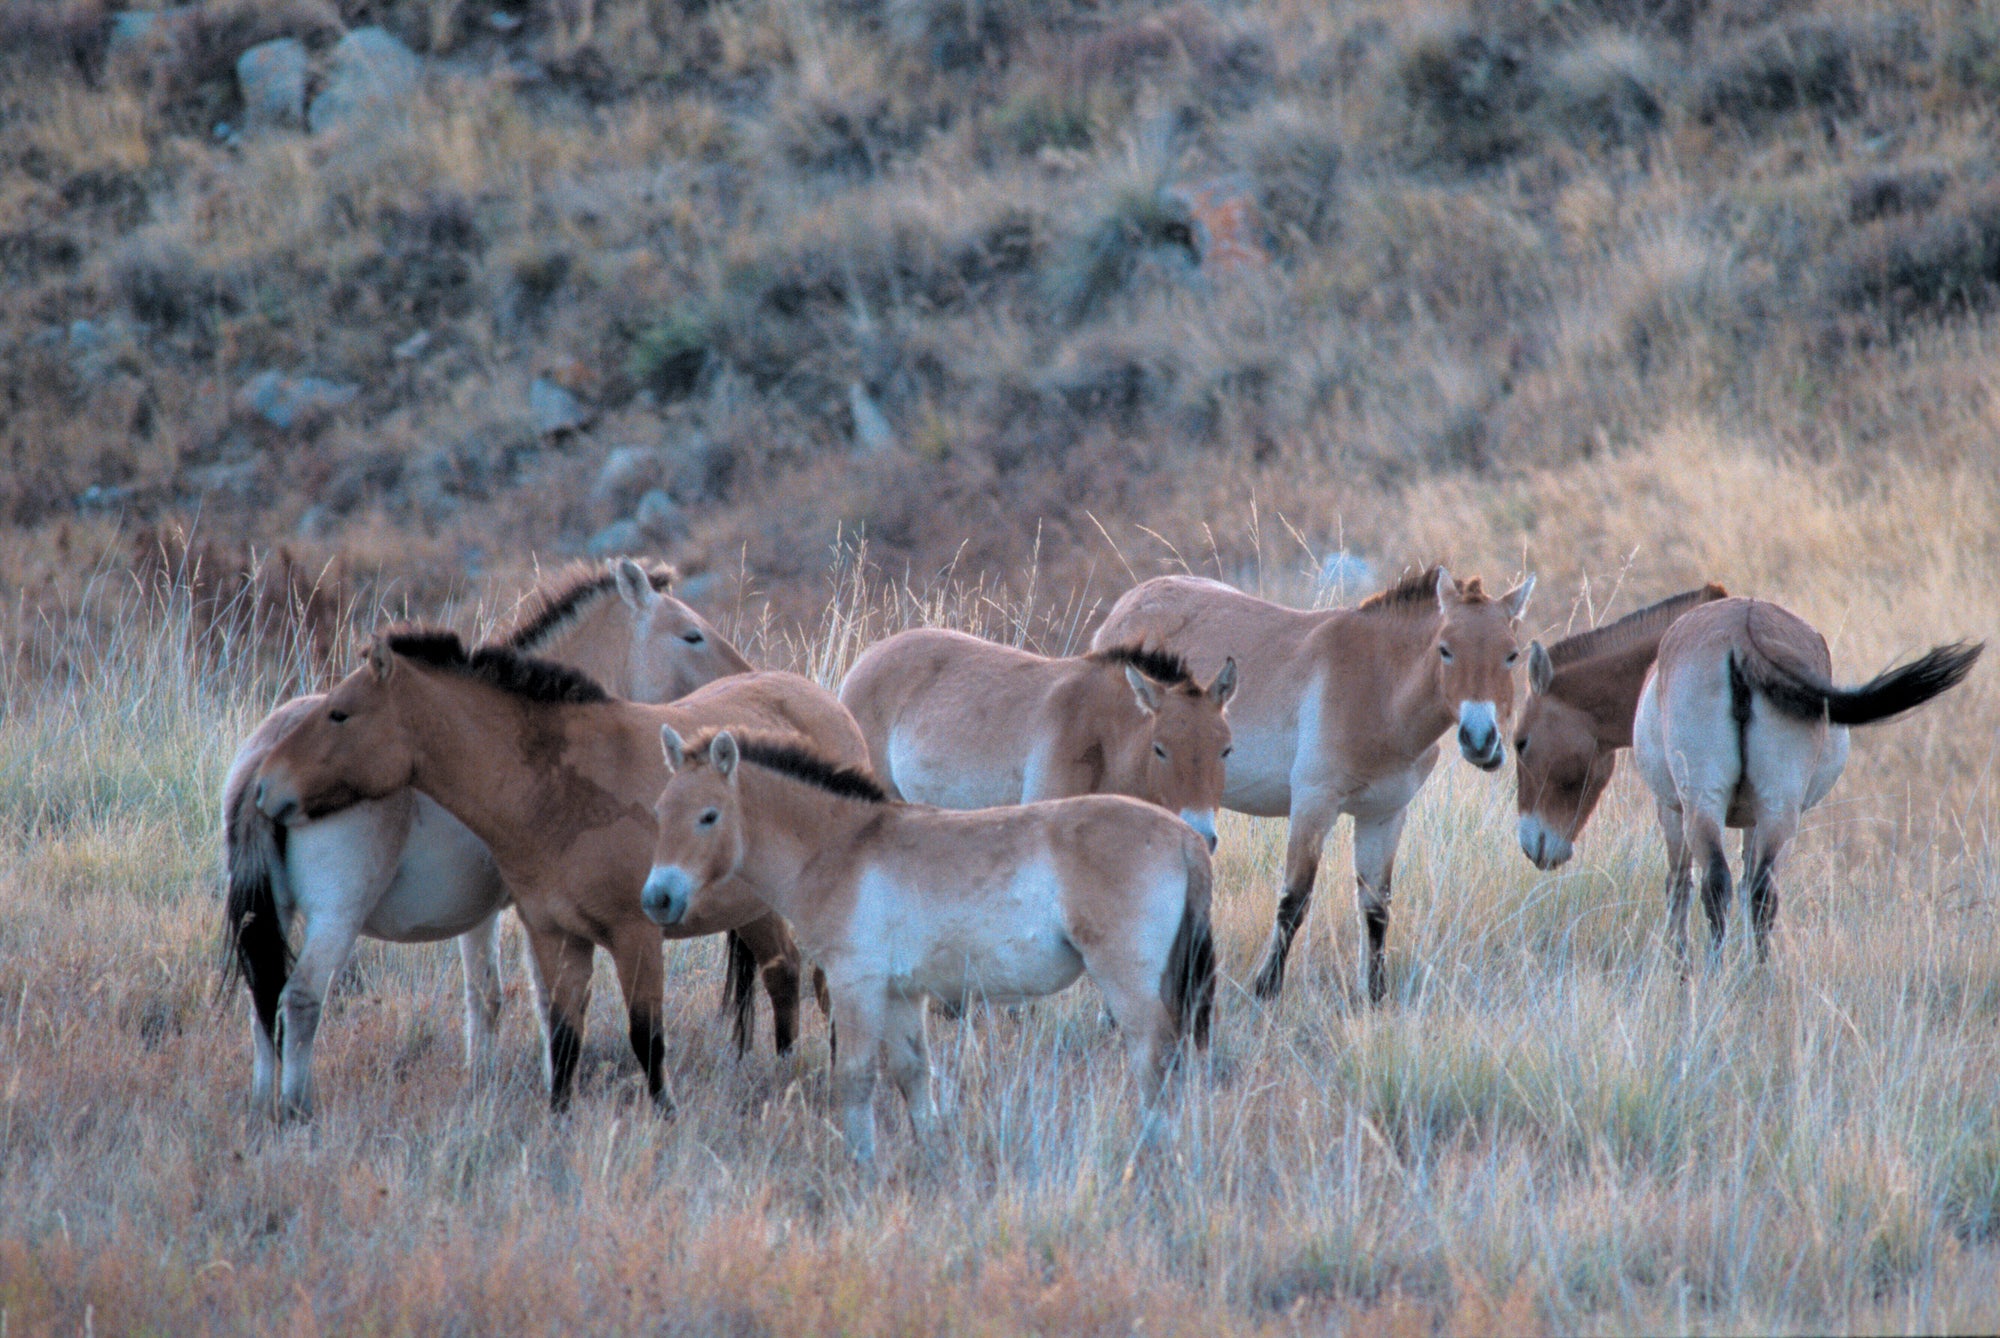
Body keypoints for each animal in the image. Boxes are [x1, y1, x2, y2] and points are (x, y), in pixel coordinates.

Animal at [243, 625, 863, 1115]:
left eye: (339, 713)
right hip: (754, 908)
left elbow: (646, 1037)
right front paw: (559, 1120)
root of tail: (828, 703)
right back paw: (787, 1070)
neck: (561, 793)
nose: (266, 786)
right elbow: (563, 1038)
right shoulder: (554, 934)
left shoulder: (636, 935)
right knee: (784, 974)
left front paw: (665, 1115)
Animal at [641, 729, 1217, 1166]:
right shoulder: (902, 994)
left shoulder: (857, 985)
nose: (657, 898)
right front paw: (934, 1155)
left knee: (1154, 1057)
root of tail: (1183, 837)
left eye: (709, 816)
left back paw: (1155, 1153)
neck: (840, 848)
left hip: (1128, 982)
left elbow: (855, 1078)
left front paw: (863, 1166)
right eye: (660, 812)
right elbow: (914, 1076)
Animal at [1092, 566, 1534, 1003]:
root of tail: (1127, 605)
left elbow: (1376, 906)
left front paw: (1375, 994)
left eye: (1512, 654)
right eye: (1445, 649)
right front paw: (1266, 989)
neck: (1379, 687)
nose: (1480, 740)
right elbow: (1294, 901)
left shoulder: (1384, 814)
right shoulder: (1313, 805)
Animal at [1632, 597, 1980, 966]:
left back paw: (1717, 969)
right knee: (1758, 889)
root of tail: (1742, 631)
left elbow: (1679, 884)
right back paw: (1756, 970)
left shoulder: (1673, 810)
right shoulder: (1748, 816)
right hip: (1774, 806)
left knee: (1717, 882)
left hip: (1710, 802)